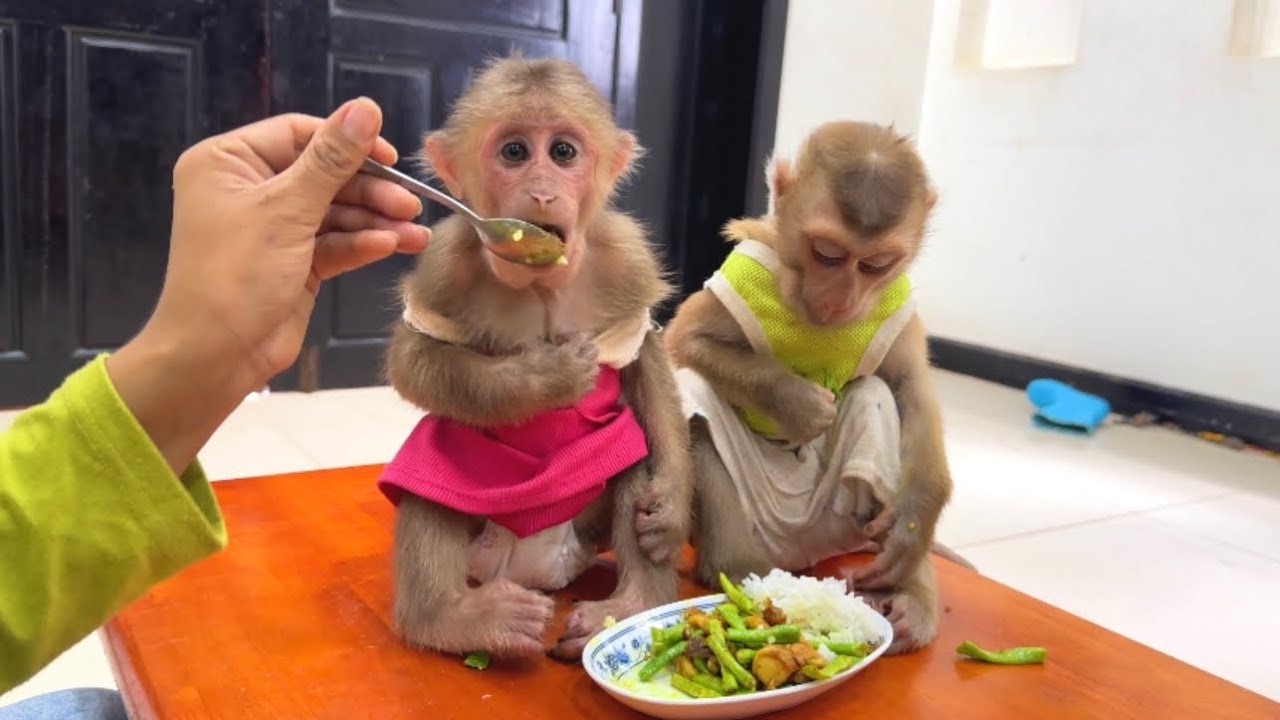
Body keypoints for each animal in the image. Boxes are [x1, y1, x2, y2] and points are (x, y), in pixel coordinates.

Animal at [375, 55, 692, 662]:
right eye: (515, 152)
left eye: (563, 152)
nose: (543, 193)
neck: (543, 282)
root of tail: (531, 572)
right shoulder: (446, 261)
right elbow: (415, 357)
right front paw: (543, 379)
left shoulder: (626, 256)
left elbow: (642, 358)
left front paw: (673, 508)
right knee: (430, 476)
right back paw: (456, 619)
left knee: (632, 454)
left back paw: (631, 604)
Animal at [663, 120, 969, 654]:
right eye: (827, 253)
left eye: (876, 264)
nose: (838, 300)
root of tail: (802, 554)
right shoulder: (738, 276)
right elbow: (686, 342)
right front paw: (798, 403)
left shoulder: (897, 303)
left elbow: (909, 386)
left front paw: (916, 520)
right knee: (695, 395)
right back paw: (738, 568)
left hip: (842, 524)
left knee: (874, 395)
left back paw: (906, 595)